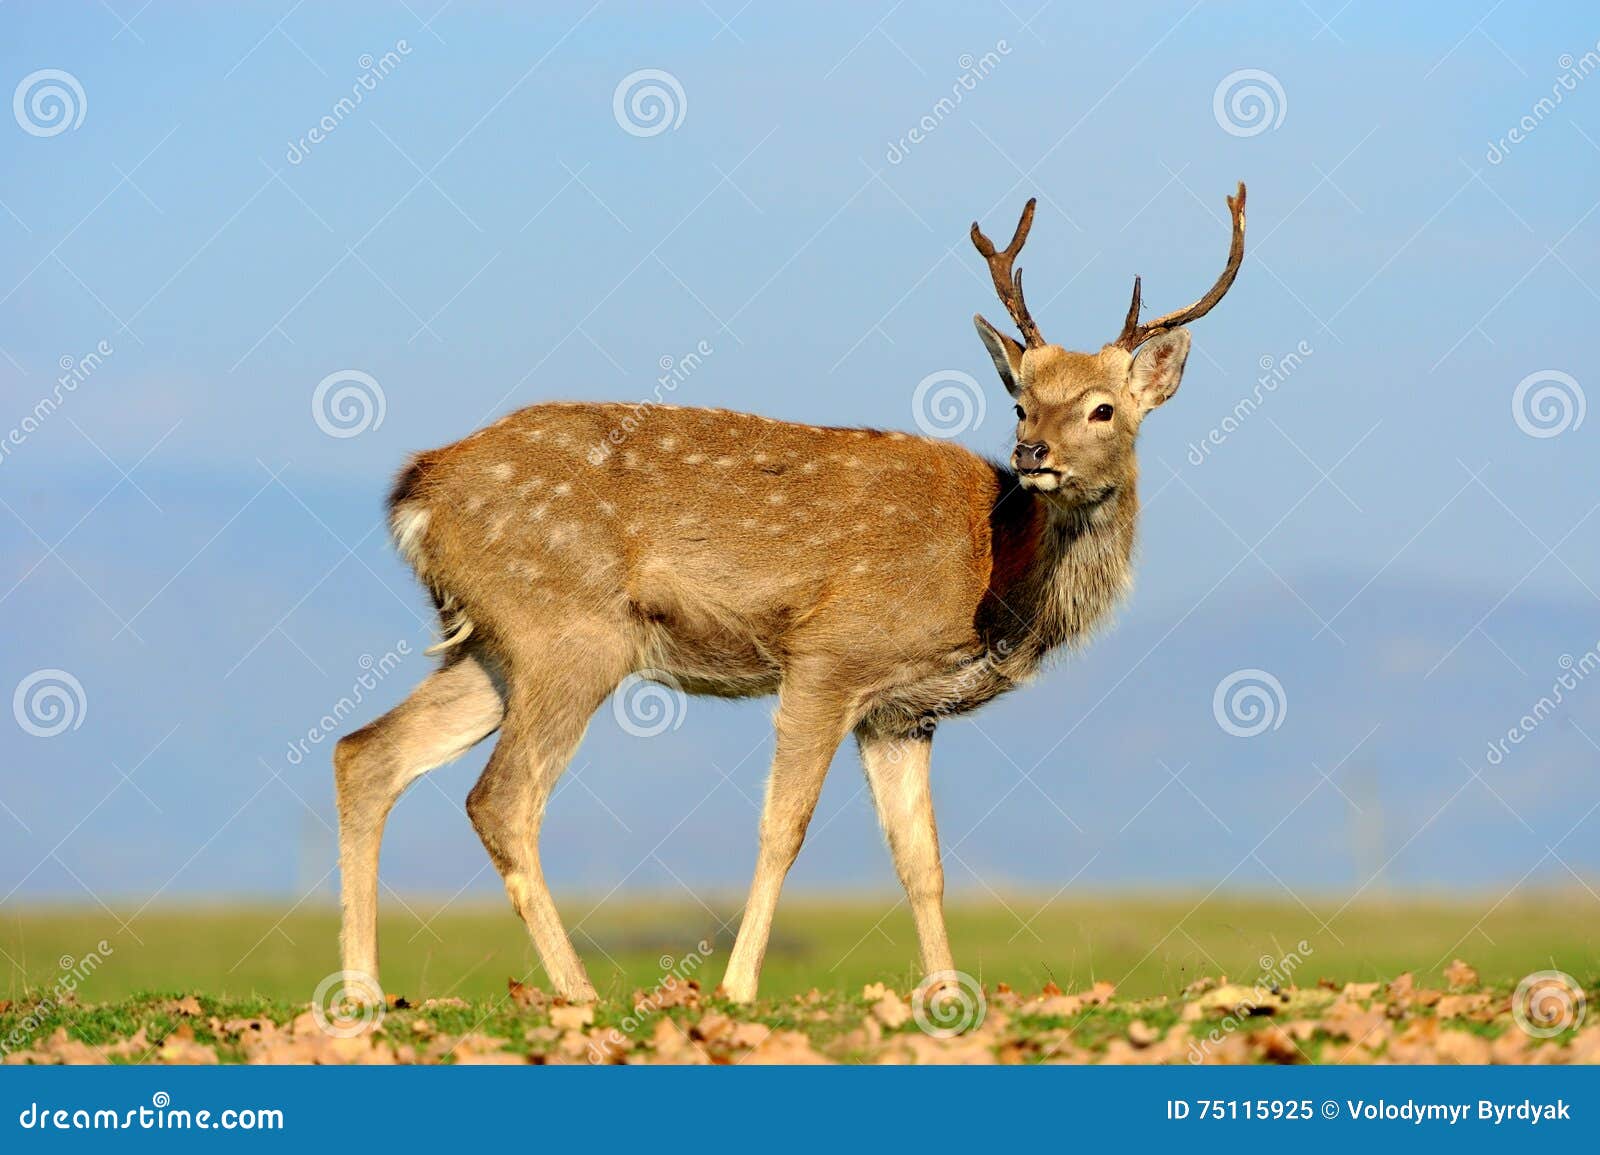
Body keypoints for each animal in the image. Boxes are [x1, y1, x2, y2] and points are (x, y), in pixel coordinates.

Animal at [333, 182, 1246, 1005]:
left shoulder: (902, 711)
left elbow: (922, 858)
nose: (1033, 454)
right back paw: (579, 994)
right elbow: (784, 827)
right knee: (501, 798)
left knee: (366, 752)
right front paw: (737, 987)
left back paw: (363, 995)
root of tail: (416, 491)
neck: (997, 572)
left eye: (1103, 408)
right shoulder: (829, 654)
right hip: (570, 630)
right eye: (1020, 401)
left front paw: (947, 995)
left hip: (493, 642)